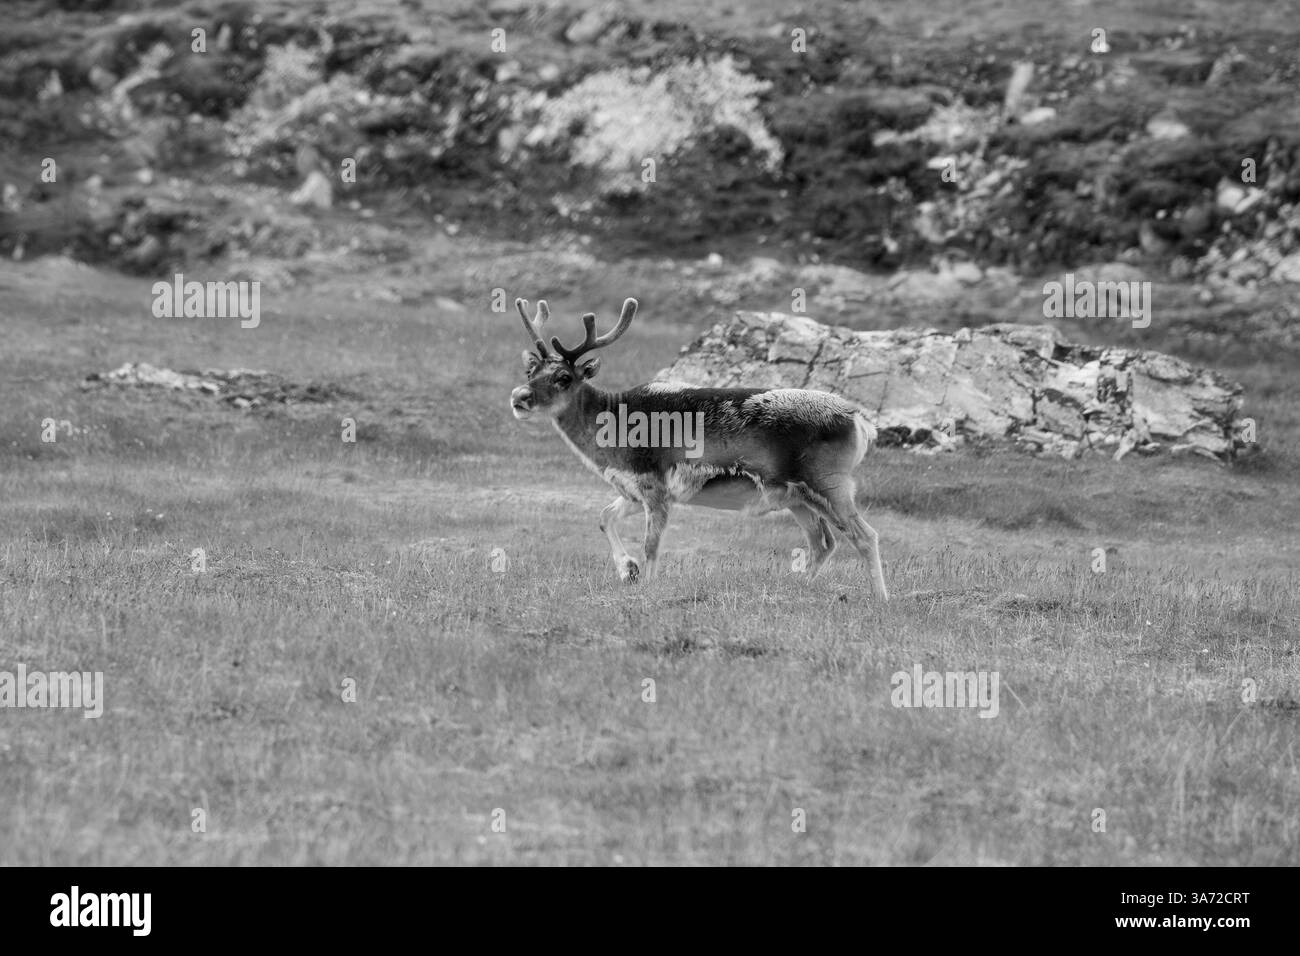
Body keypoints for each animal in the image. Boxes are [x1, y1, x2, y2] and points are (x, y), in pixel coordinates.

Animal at [508, 296, 888, 600]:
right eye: (530, 370)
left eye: (563, 378)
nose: (519, 397)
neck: (610, 435)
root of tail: (861, 421)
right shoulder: (632, 488)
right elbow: (603, 517)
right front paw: (627, 570)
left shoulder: (655, 485)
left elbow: (651, 545)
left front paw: (645, 585)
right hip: (796, 495)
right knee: (823, 542)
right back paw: (796, 589)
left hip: (829, 481)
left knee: (865, 535)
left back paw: (880, 599)